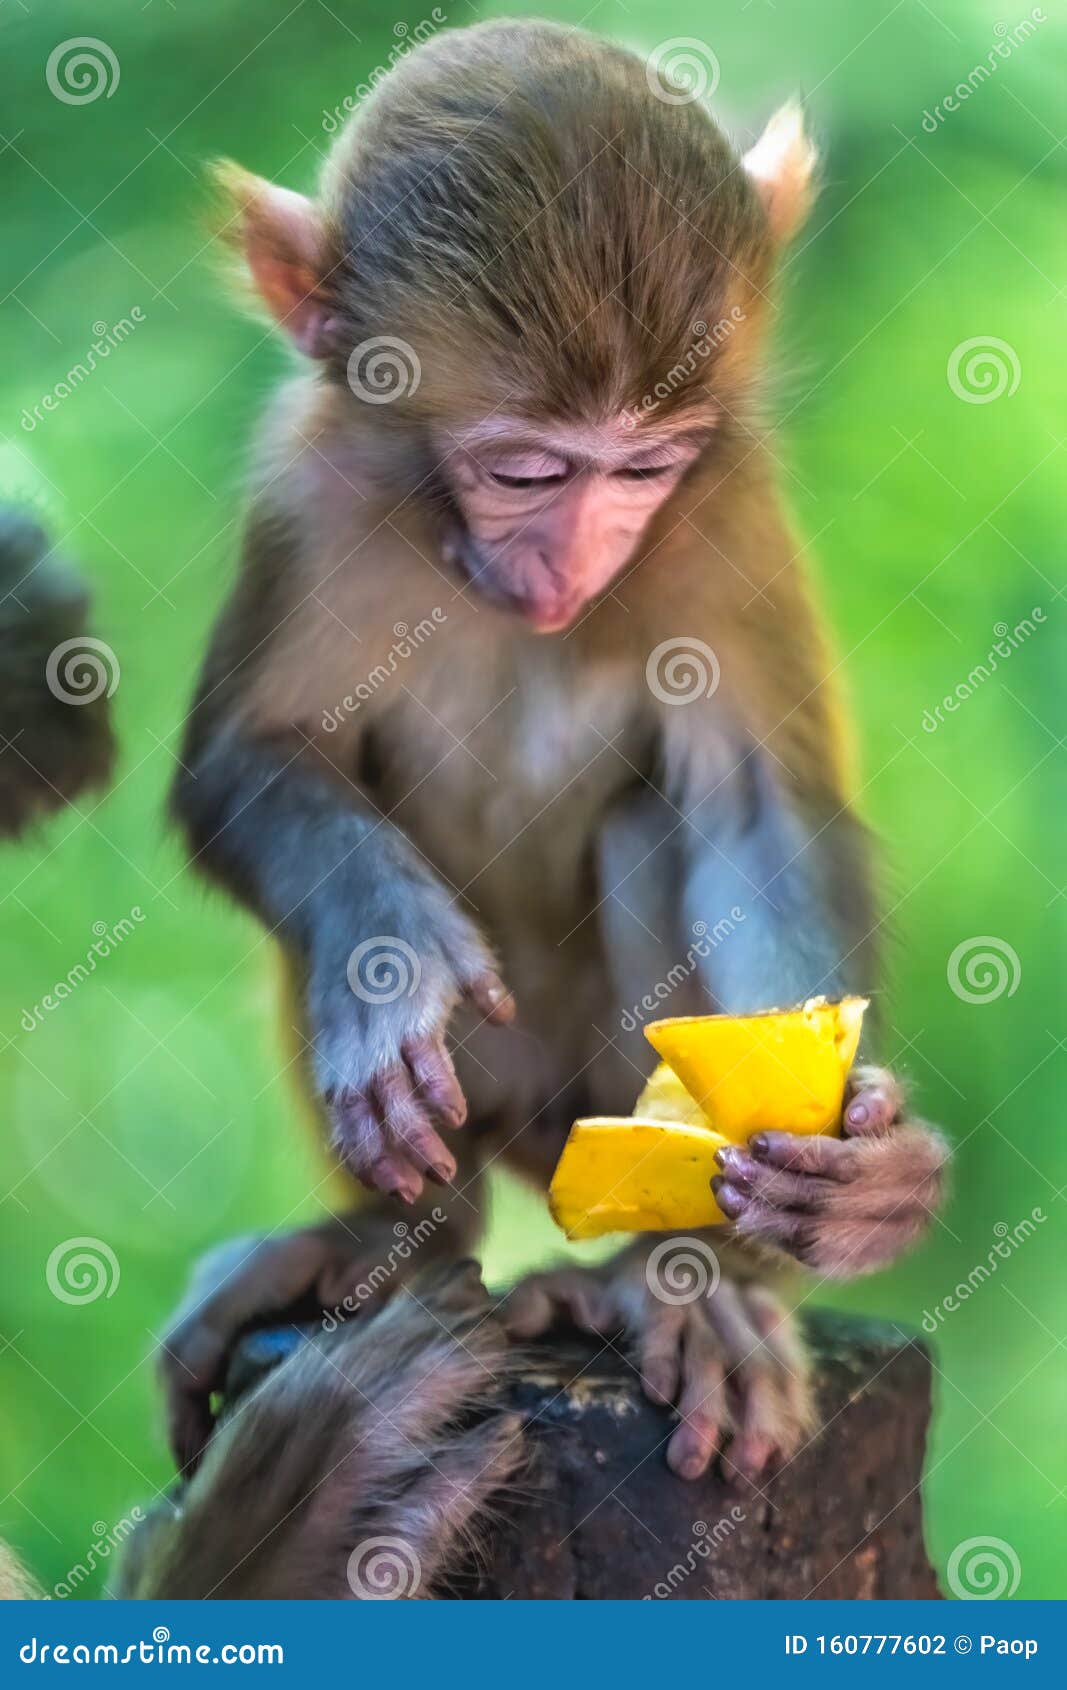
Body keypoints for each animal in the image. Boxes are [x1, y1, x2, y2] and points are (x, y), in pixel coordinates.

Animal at [162, 16, 948, 1518]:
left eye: (644, 468)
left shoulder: (725, 504)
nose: (574, 565)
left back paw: (683, 1280)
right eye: (525, 470)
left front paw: (864, 1169)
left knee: (655, 828)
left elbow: (754, 815)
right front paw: (389, 964)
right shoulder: (308, 489)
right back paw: (397, 1232)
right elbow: (249, 764)